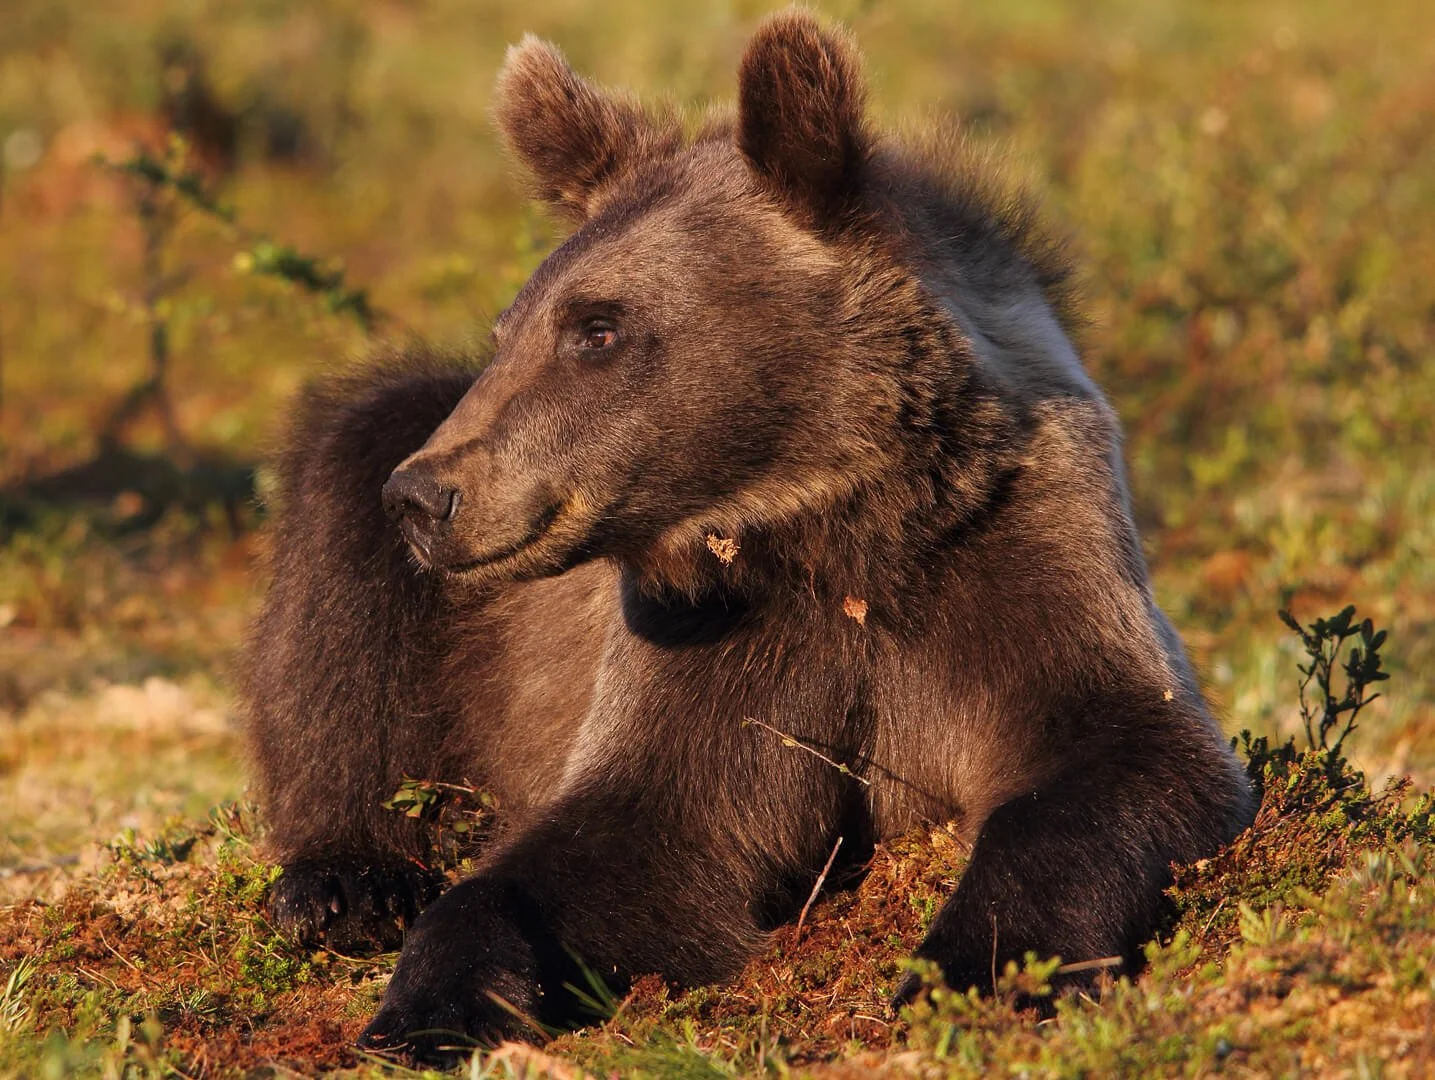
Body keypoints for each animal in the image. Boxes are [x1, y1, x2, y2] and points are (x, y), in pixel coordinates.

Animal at [241, 9, 1256, 1060]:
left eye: (595, 327)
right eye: (508, 328)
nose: (426, 495)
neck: (841, 528)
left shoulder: (1016, 559)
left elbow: (1117, 758)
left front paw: (977, 969)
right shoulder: (718, 646)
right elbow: (637, 831)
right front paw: (427, 1007)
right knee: (338, 588)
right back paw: (344, 883)